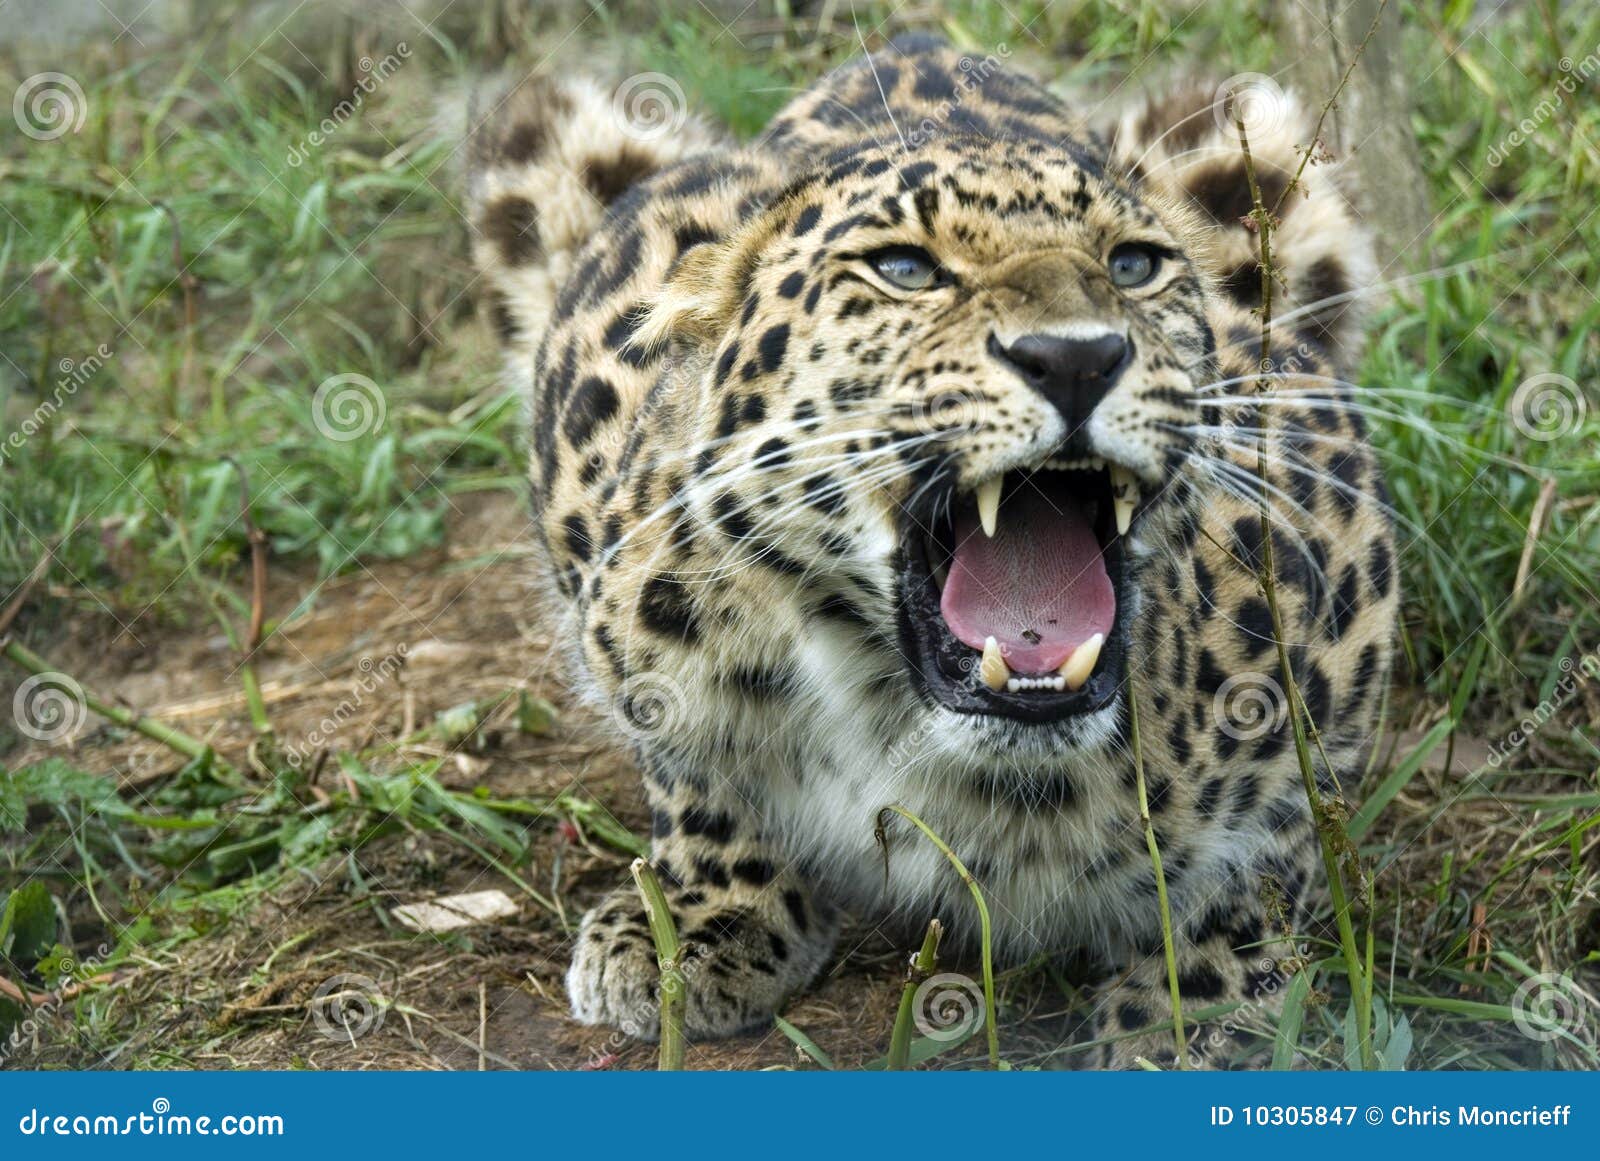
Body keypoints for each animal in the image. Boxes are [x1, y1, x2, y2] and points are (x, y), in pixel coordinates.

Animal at [467, 35, 1397, 1068]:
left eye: (1134, 265)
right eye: (906, 269)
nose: (1076, 357)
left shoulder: (1333, 584)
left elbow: (1269, 845)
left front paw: (1188, 1013)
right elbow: (689, 769)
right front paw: (702, 918)